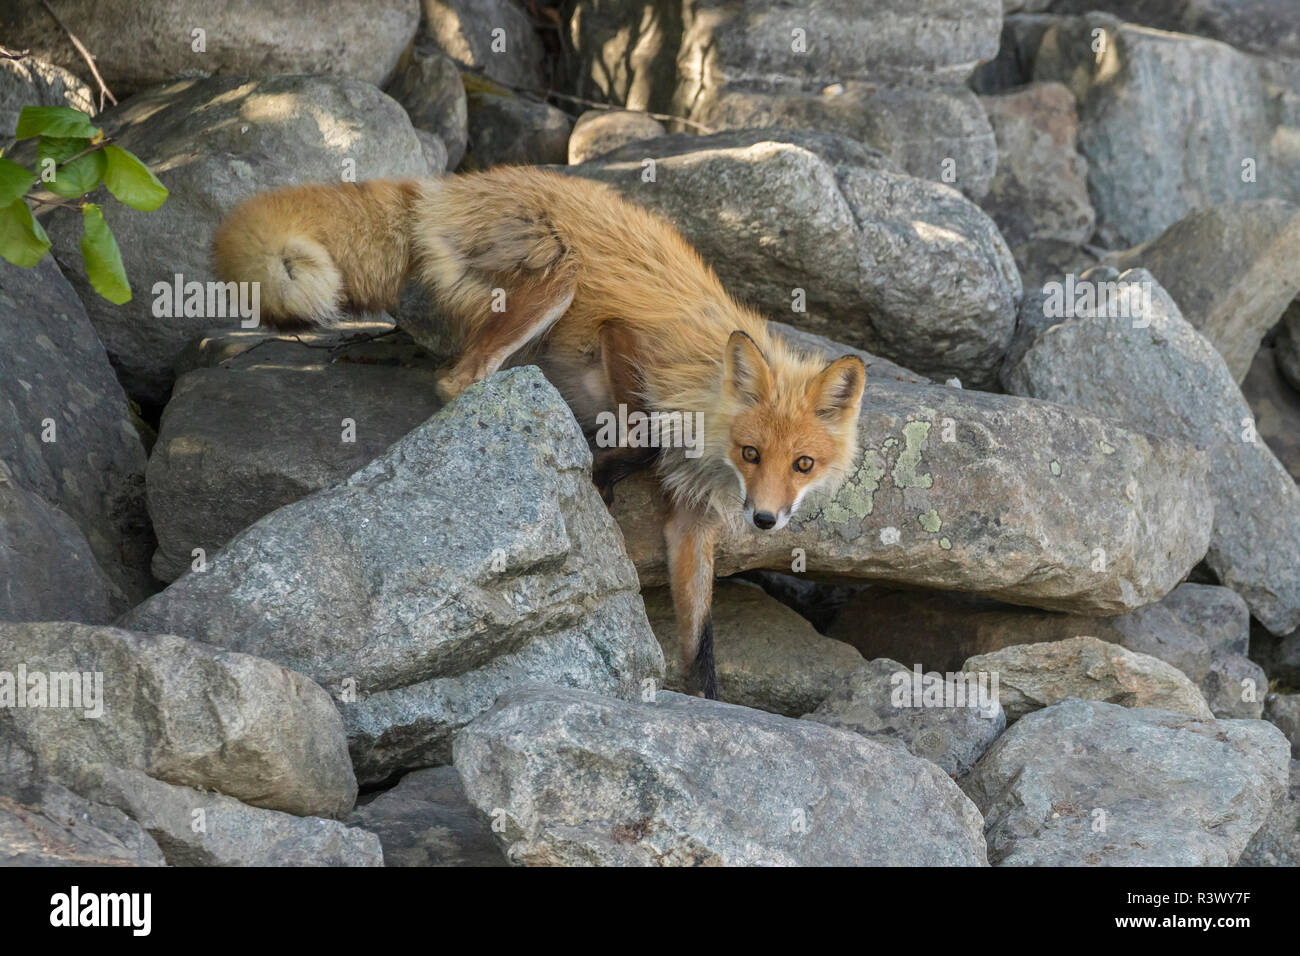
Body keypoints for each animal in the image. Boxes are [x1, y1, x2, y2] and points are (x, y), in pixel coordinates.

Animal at [211, 166, 866, 699]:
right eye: (751, 452)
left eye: (802, 464)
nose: (765, 520)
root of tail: (457, 185)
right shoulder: (622, 341)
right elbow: (646, 436)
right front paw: (601, 473)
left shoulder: (693, 522)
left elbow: (700, 639)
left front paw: (707, 702)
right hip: (559, 279)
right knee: (459, 378)